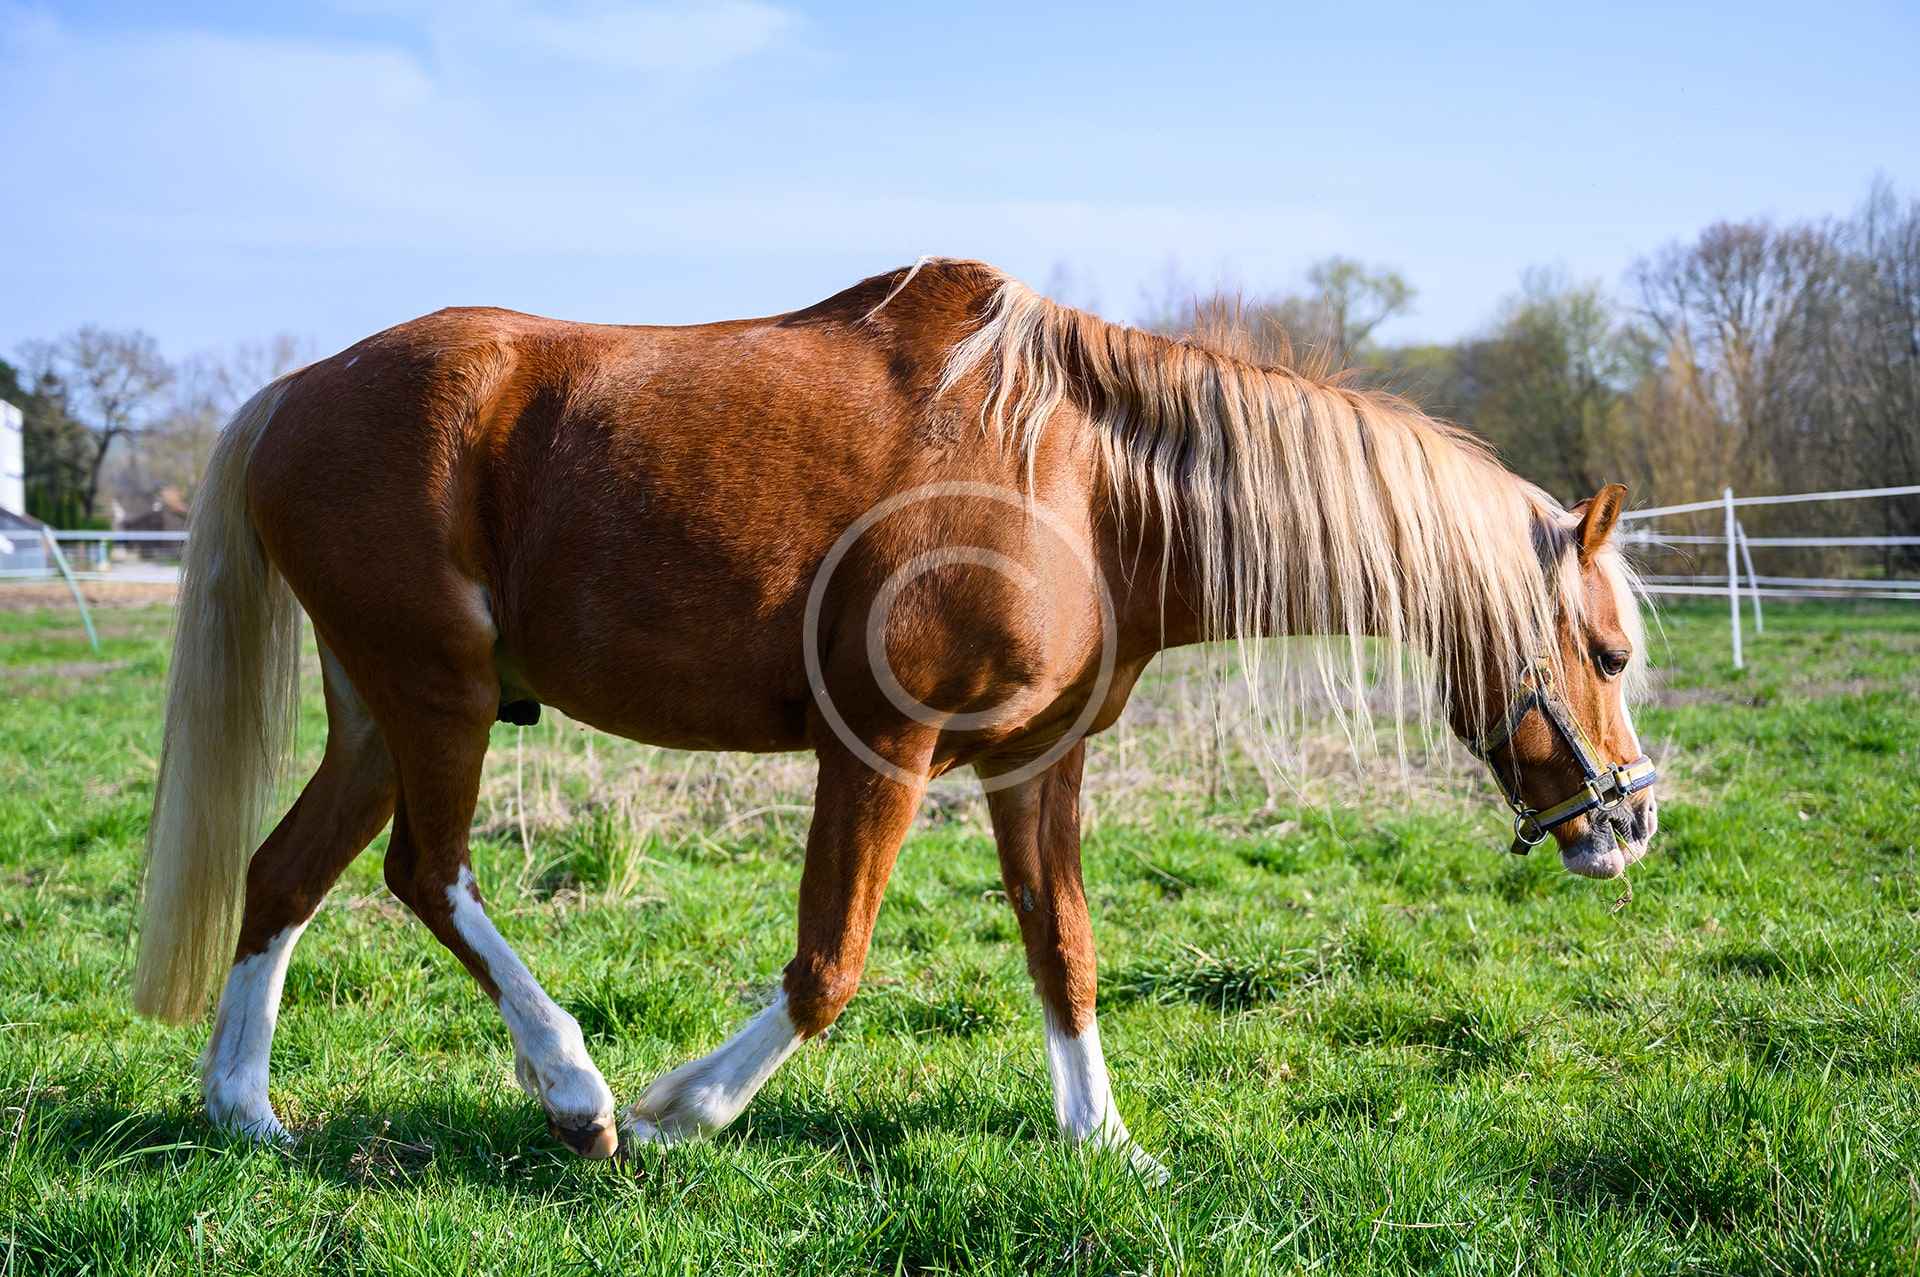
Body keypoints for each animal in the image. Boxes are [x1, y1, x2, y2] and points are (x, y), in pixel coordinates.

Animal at [132, 259, 1658, 1172]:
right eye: (1607, 649)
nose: (1630, 824)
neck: (1072, 474)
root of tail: (295, 393)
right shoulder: (883, 747)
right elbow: (828, 965)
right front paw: (686, 1110)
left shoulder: (1034, 766)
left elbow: (1065, 952)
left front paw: (1103, 1139)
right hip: (437, 695)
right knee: (425, 873)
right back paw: (575, 1087)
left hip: (376, 714)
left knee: (284, 876)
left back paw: (246, 1110)